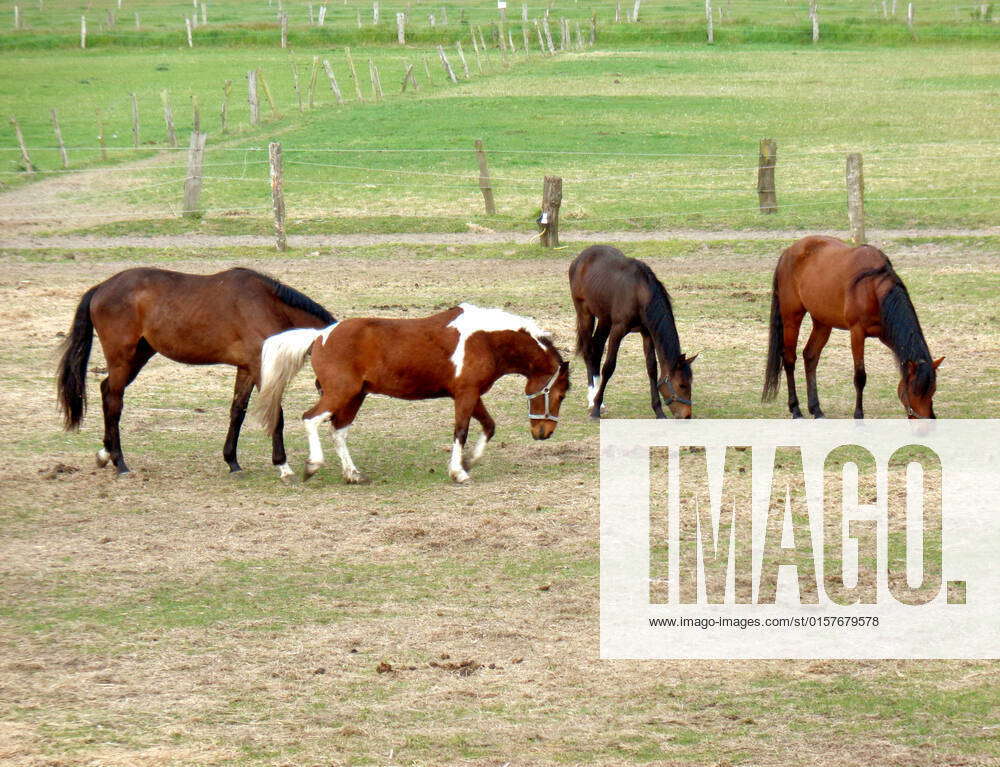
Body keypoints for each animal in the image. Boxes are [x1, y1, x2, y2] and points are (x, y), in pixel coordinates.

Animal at [56, 267, 335, 476]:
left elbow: (237, 412)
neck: (268, 305)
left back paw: (105, 453)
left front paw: (232, 461)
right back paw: (120, 462)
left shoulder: (245, 368)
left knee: (106, 391)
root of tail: (101, 288)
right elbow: (277, 415)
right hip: (122, 359)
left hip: (138, 356)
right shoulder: (259, 368)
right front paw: (283, 465)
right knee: (114, 402)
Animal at [253, 303, 570, 484]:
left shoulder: (471, 394)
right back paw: (311, 466)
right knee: (311, 419)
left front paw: (469, 461)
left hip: (355, 396)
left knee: (338, 430)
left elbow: (489, 427)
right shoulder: (465, 395)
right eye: (560, 394)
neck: (486, 339)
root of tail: (321, 335)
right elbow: (461, 431)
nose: (544, 433)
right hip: (340, 393)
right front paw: (459, 472)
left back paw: (353, 474)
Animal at [568, 245, 696, 420]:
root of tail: (581, 257)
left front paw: (658, 411)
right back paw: (592, 400)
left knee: (597, 350)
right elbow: (609, 367)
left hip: (604, 319)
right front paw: (595, 410)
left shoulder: (647, 333)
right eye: (682, 385)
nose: (687, 415)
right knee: (588, 352)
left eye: (690, 384)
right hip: (585, 313)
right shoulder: (618, 330)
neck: (639, 292)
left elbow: (652, 369)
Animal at [762, 235, 943, 419]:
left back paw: (816, 409)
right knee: (789, 359)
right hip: (791, 318)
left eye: (933, 389)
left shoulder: (887, 334)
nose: (929, 420)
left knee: (810, 356)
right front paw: (858, 414)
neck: (872, 287)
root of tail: (788, 252)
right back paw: (796, 409)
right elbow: (860, 376)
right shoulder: (857, 333)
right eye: (915, 391)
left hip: (822, 322)